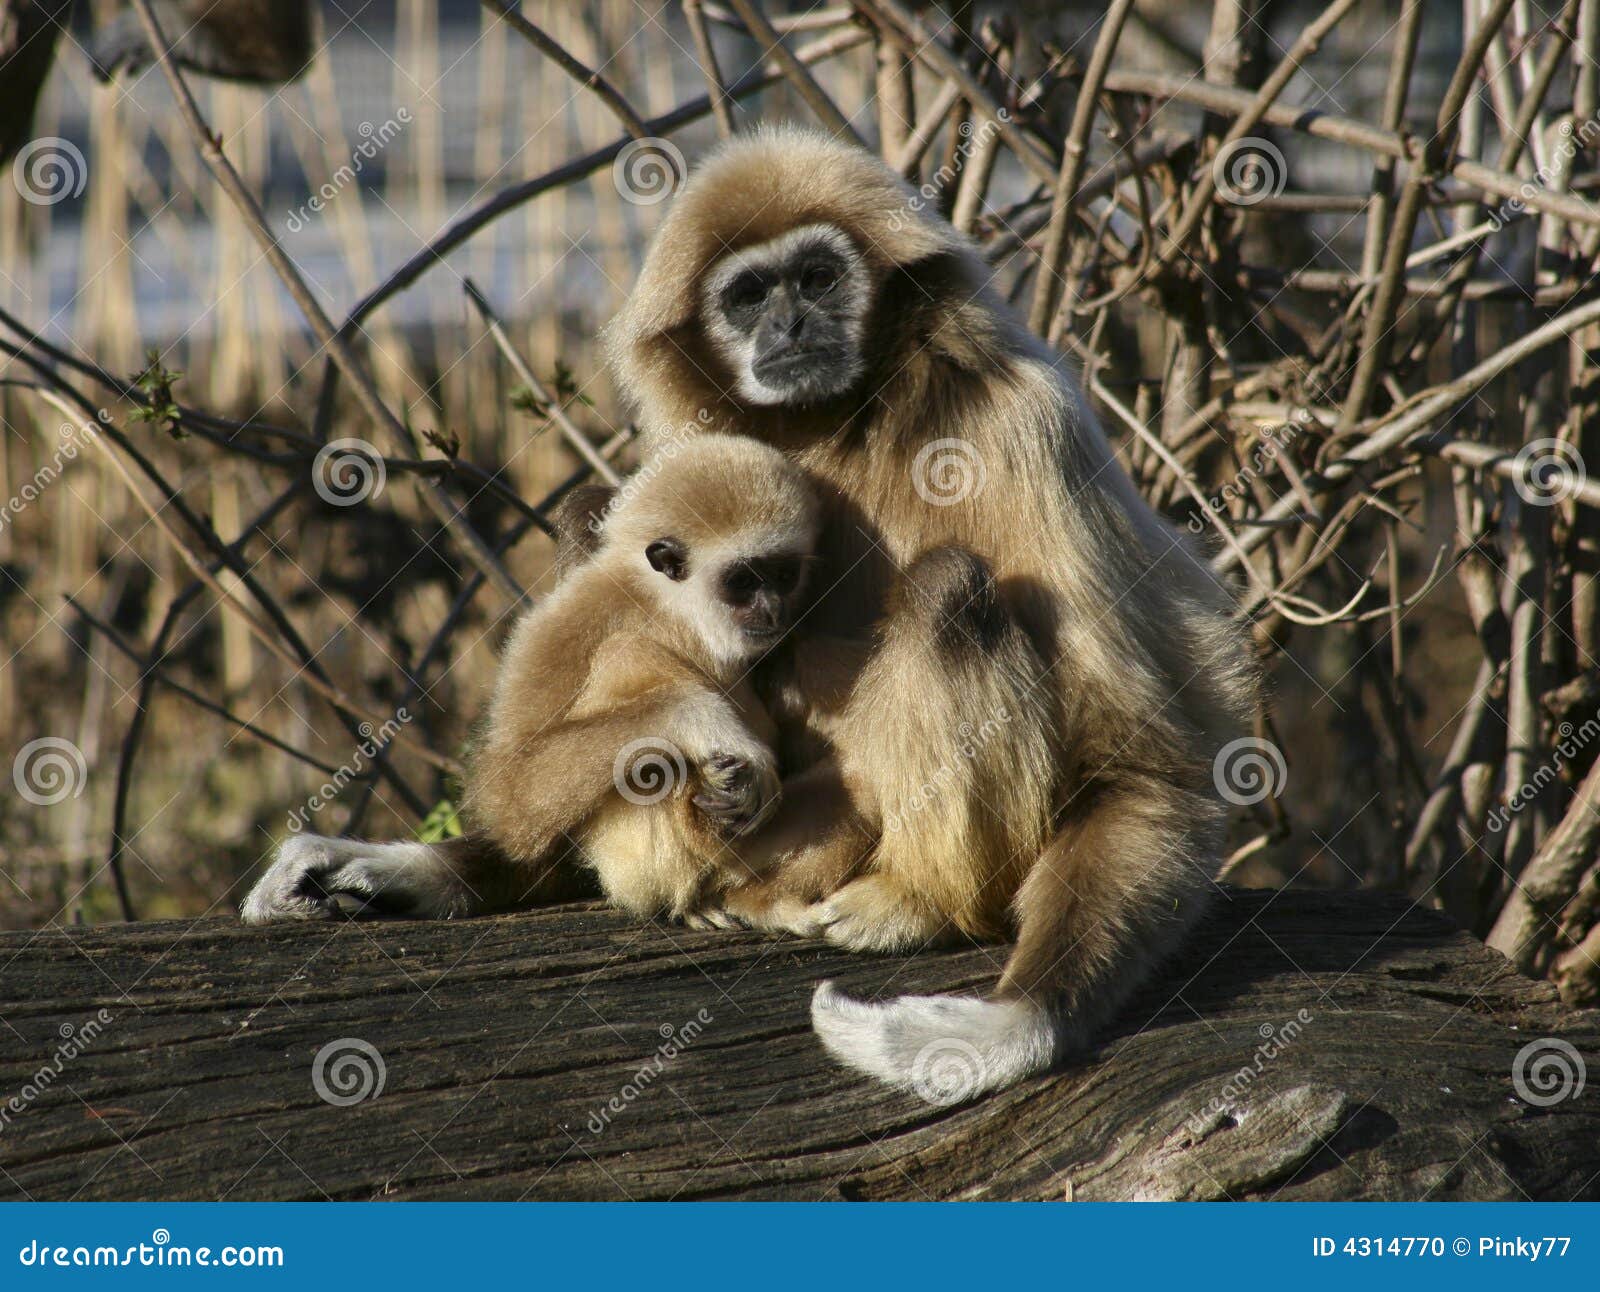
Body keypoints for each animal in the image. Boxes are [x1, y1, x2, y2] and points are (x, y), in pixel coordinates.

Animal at [241, 433, 821, 927]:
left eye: (783, 574)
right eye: (743, 581)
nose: (773, 607)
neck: (668, 611)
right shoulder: (571, 622)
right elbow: (512, 798)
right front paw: (702, 720)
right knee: (629, 660)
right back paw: (685, 901)